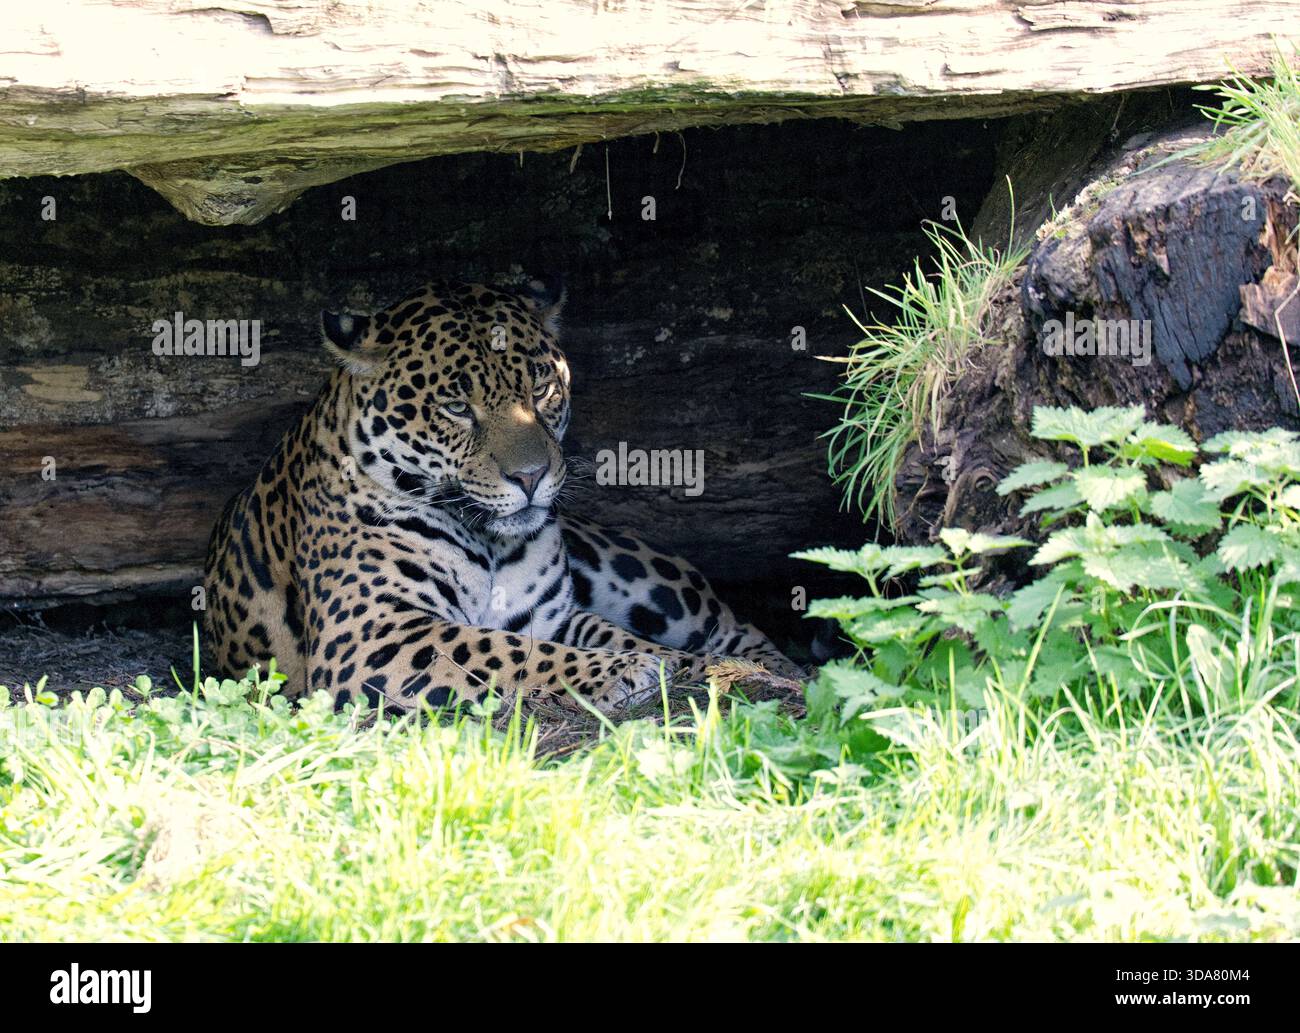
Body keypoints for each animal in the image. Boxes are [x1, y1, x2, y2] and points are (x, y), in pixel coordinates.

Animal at [203, 279, 800, 715]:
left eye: (542, 388)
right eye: (455, 407)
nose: (532, 477)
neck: (488, 543)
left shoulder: (552, 615)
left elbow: (616, 637)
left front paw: (681, 667)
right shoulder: (372, 634)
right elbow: (507, 652)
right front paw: (621, 672)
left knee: (734, 625)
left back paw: (768, 672)